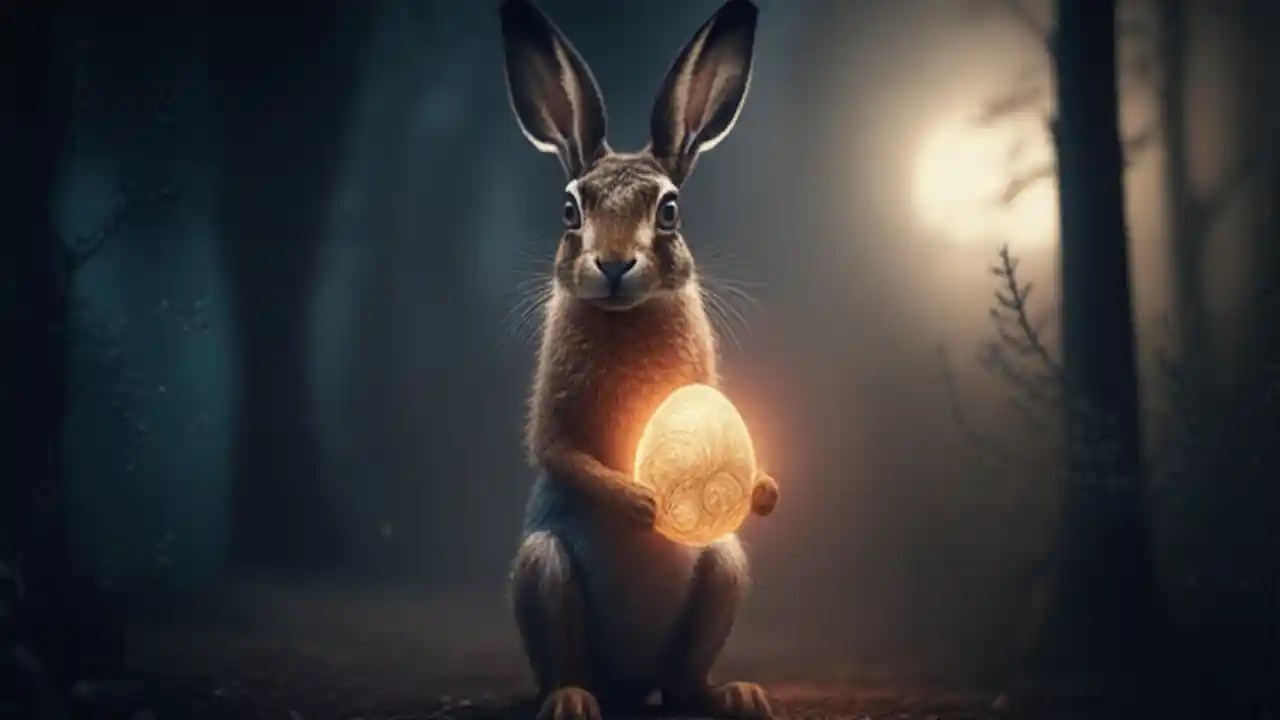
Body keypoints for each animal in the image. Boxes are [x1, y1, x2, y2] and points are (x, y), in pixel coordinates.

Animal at [500, 1, 780, 719]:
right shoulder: (553, 417)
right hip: (543, 570)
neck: (626, 314)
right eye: (569, 209)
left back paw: (735, 695)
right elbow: (556, 451)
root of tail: (628, 681)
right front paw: (637, 502)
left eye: (670, 211)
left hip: (723, 568)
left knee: (684, 680)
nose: (614, 264)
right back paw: (572, 700)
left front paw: (764, 490)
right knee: (567, 658)